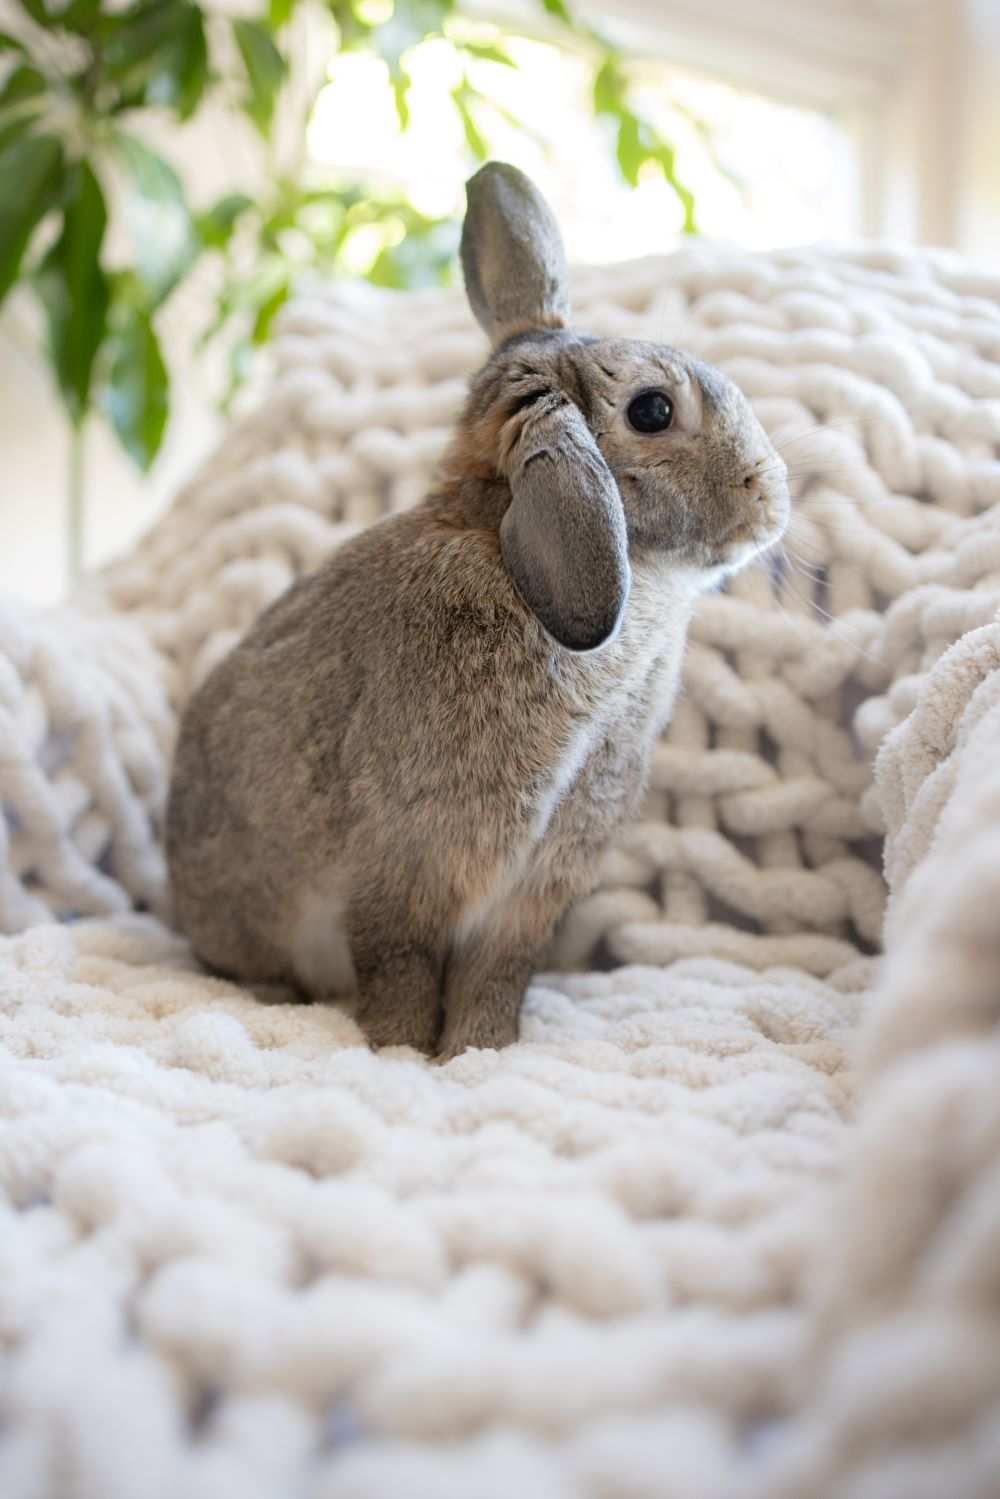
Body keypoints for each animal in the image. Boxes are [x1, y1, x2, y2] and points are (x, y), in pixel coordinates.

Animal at [166, 161, 790, 1059]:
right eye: (652, 411)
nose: (772, 497)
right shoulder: (408, 870)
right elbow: (399, 969)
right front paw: (397, 1052)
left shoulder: (534, 890)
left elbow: (497, 976)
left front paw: (480, 1051)